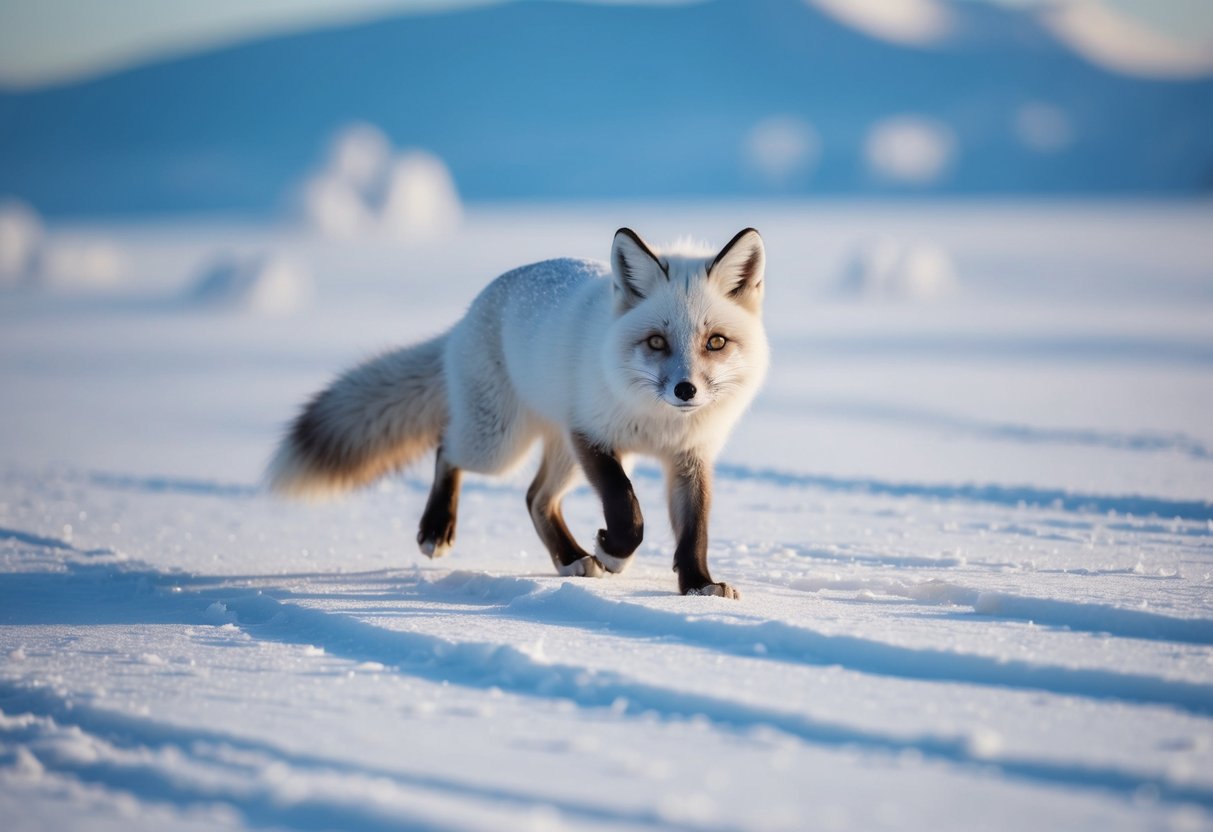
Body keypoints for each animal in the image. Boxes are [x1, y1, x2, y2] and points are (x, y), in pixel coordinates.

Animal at [267, 227, 769, 597]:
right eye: (657, 342)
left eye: (715, 342)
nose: (685, 390)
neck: (659, 422)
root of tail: (469, 313)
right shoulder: (593, 435)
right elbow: (627, 509)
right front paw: (615, 551)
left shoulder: (690, 457)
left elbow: (695, 530)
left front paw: (699, 586)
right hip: (500, 445)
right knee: (447, 449)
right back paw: (437, 529)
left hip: (560, 454)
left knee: (535, 498)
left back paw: (570, 558)